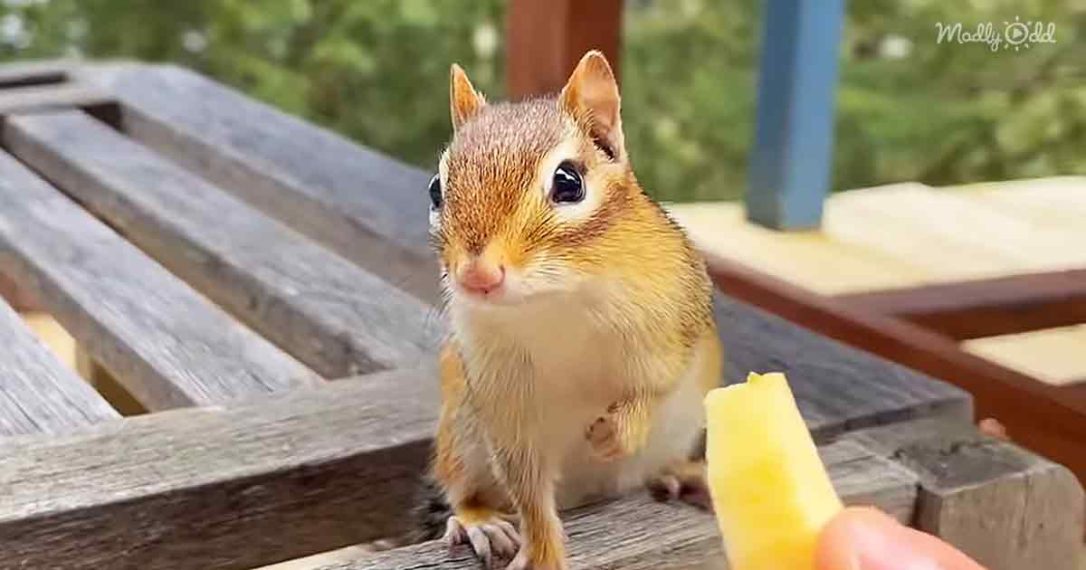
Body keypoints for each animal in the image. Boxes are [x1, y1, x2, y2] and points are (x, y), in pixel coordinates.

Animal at [422, 51, 723, 570]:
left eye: (569, 183)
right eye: (436, 189)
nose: (477, 276)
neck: (557, 300)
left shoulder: (675, 325)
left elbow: (653, 388)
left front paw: (614, 433)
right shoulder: (506, 404)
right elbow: (528, 491)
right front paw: (541, 551)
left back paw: (686, 474)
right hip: (460, 432)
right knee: (465, 488)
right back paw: (480, 520)